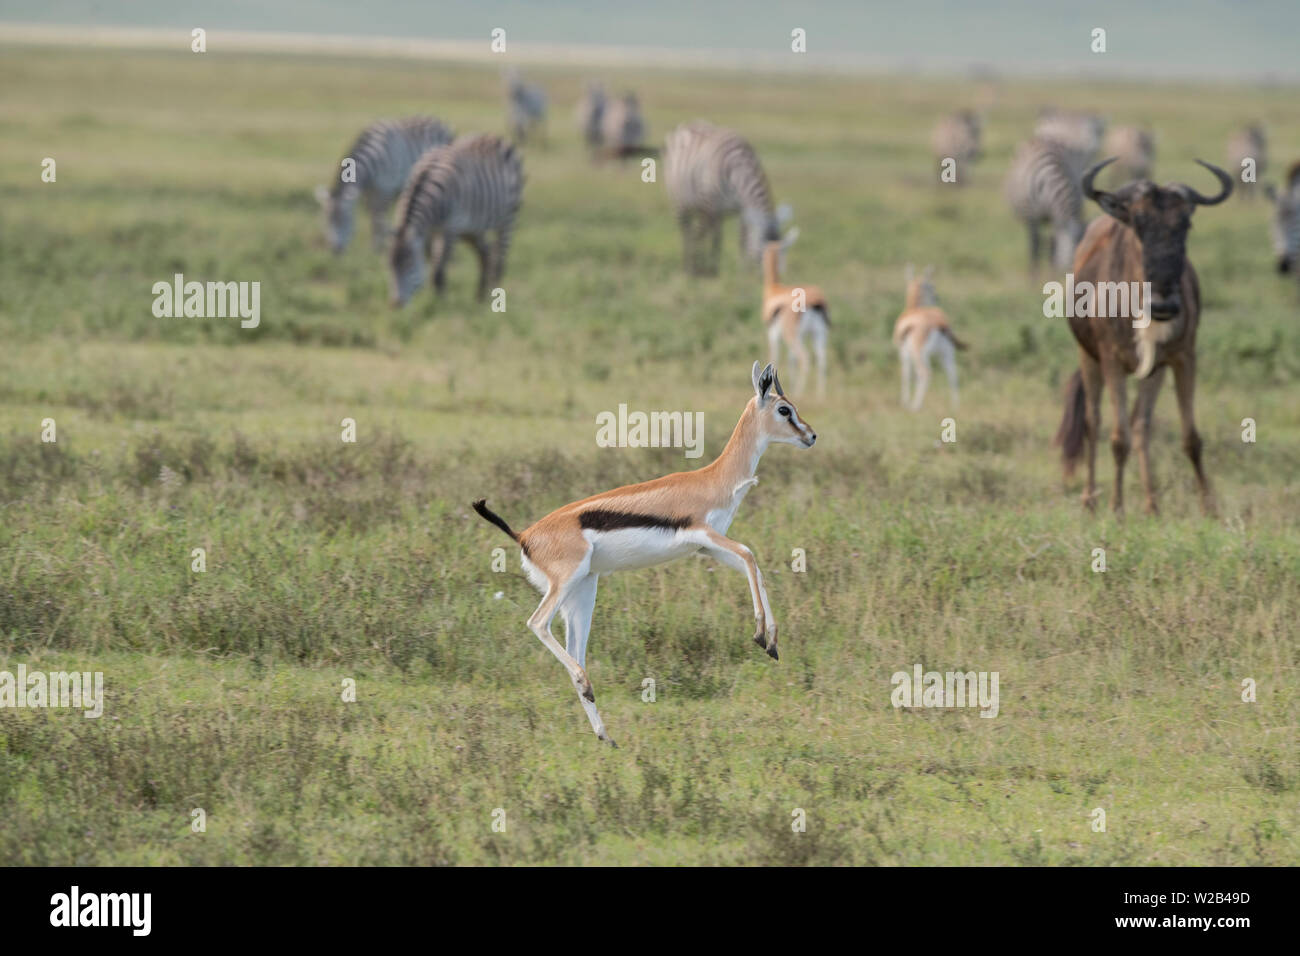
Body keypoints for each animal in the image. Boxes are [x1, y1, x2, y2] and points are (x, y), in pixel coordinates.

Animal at [472, 363, 816, 746]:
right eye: (784, 410)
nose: (812, 436)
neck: (714, 480)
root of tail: (524, 536)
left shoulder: (708, 548)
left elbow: (752, 567)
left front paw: (771, 643)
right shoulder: (705, 534)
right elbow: (749, 555)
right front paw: (760, 637)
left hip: (583, 591)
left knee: (575, 647)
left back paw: (604, 734)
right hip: (566, 584)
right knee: (537, 623)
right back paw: (587, 689)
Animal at [761, 229, 830, 398]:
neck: (774, 289)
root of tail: (815, 301)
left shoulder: (773, 334)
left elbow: (774, 358)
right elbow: (790, 360)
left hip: (793, 336)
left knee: (805, 358)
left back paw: (800, 393)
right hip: (819, 334)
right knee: (822, 358)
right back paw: (821, 395)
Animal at [893, 265, 966, 411]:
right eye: (931, 286)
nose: (937, 298)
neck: (912, 309)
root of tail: (939, 323)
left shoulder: (903, 352)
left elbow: (906, 375)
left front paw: (905, 402)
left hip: (919, 353)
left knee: (925, 373)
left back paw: (915, 406)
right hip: (946, 353)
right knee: (952, 373)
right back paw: (955, 406)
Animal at [1055, 157, 1232, 516]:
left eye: (1185, 224)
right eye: (1138, 222)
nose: (1164, 305)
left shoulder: (1181, 358)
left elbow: (1190, 437)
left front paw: (1210, 508)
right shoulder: (1111, 360)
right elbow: (1117, 437)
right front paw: (1116, 508)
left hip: (1153, 371)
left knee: (1141, 425)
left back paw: (1151, 504)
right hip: (1088, 357)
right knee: (1094, 422)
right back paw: (1090, 499)